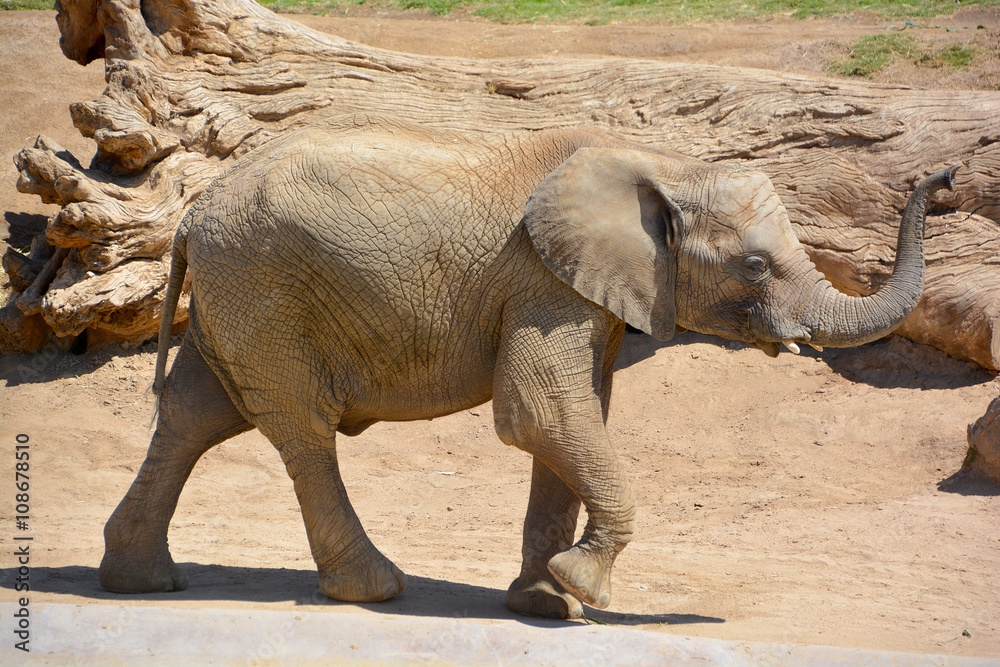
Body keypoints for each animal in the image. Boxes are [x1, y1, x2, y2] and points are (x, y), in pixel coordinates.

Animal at [99, 116, 955, 619]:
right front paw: (583, 589)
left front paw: (545, 602)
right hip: (265, 287)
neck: (662, 164)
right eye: (753, 266)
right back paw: (374, 588)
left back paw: (141, 583)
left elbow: (578, 417)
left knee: (195, 413)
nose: (944, 179)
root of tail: (192, 214)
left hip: (240, 290)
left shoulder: (587, 288)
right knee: (301, 428)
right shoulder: (545, 281)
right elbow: (542, 412)